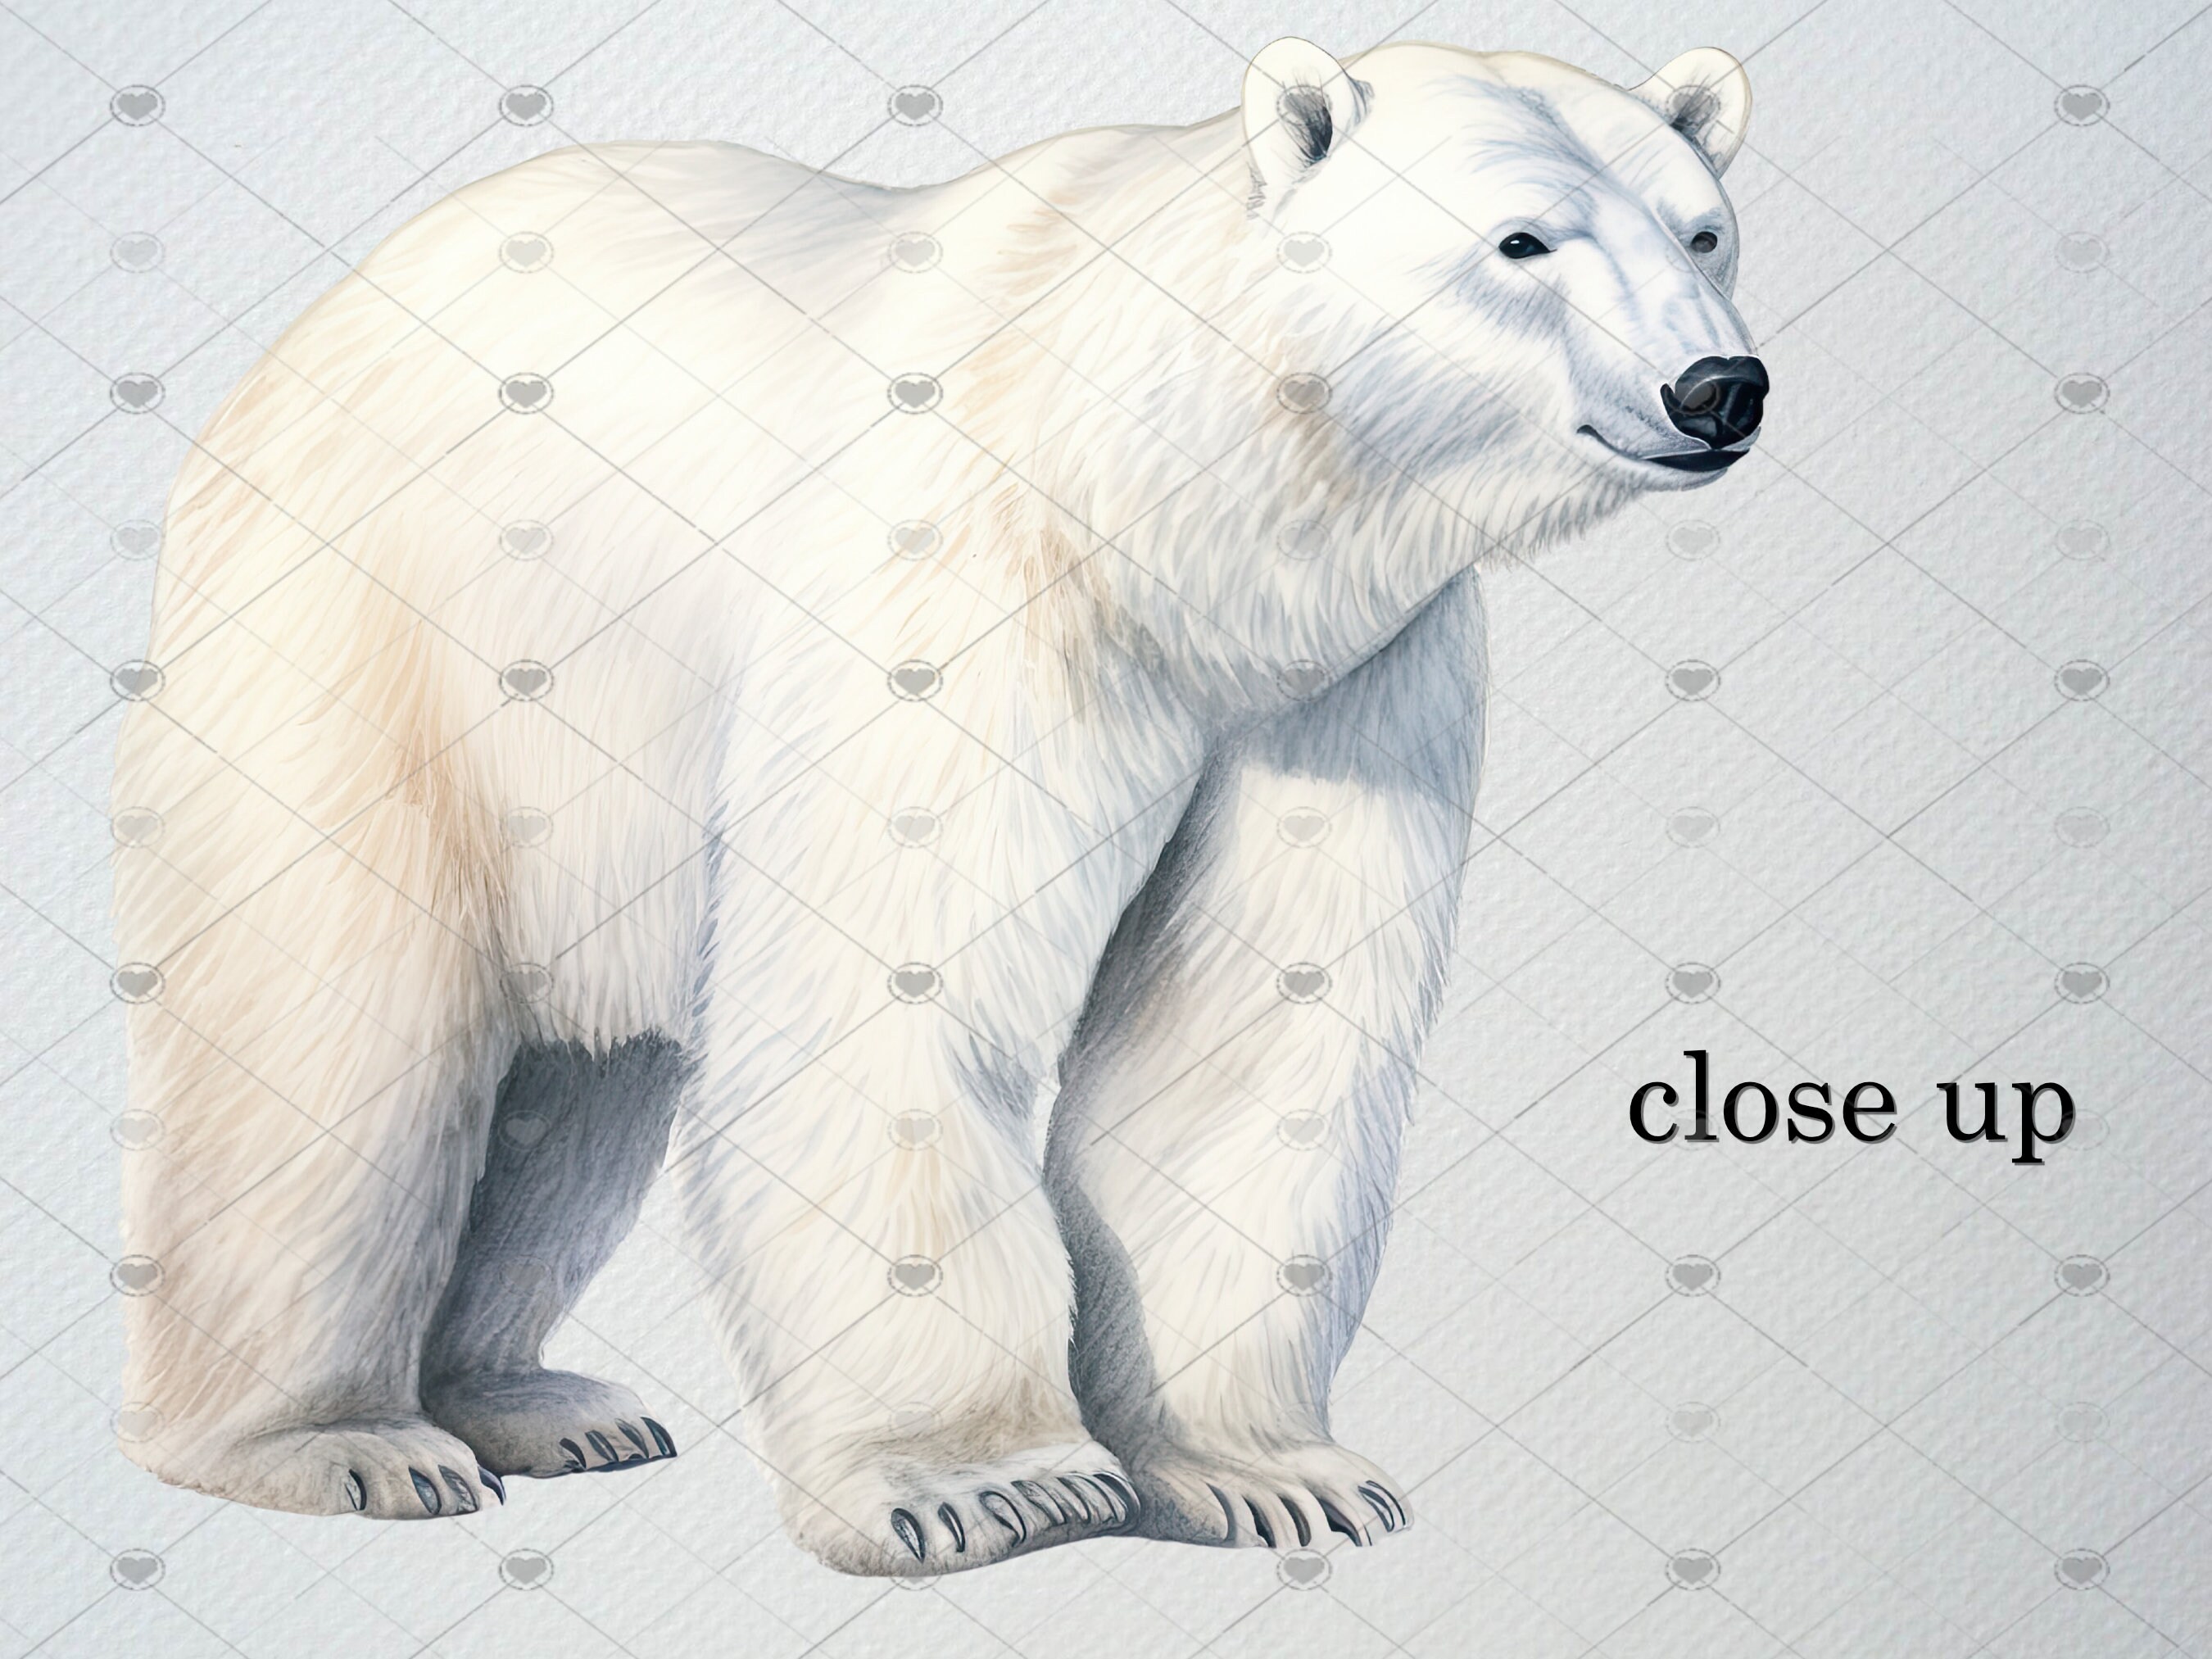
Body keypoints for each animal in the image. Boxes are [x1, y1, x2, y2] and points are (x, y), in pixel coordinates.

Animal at [110, 36, 1763, 1575]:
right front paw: (987, 1484)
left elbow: (1253, 1027)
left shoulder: (1338, 681)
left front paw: (1268, 1476)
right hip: (386, 628)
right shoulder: (964, 585)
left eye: (1702, 233)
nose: (1718, 388)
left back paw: (540, 1401)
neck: (1173, 511)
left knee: (570, 1088)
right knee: (339, 1022)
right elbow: (904, 987)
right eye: (1522, 240)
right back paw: (343, 1439)